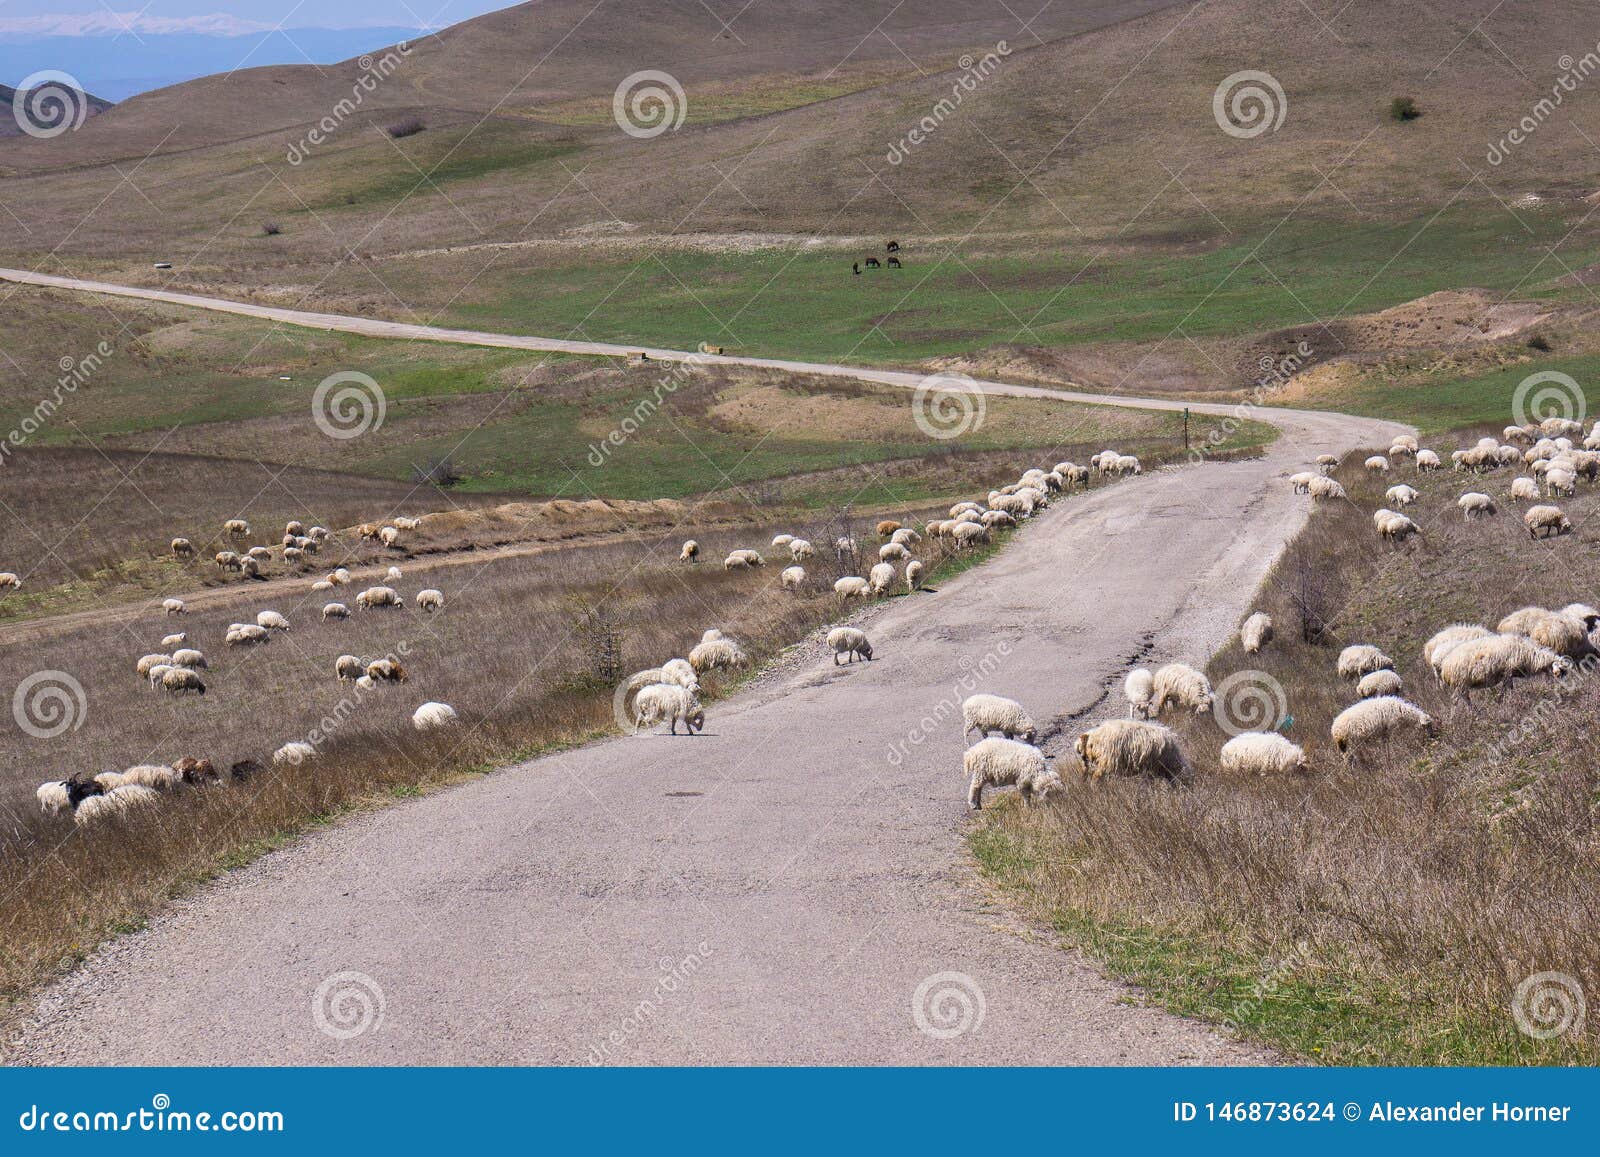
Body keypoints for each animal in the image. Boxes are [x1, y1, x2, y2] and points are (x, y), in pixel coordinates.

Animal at [1438, 633, 1573, 700]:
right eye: (1561, 671)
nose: (1564, 687)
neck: (1532, 655)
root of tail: (1445, 666)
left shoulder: (1509, 675)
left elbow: (1508, 688)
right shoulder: (1507, 672)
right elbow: (1507, 688)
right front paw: (1507, 700)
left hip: (1462, 685)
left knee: (1464, 698)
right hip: (1460, 683)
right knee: (1455, 700)